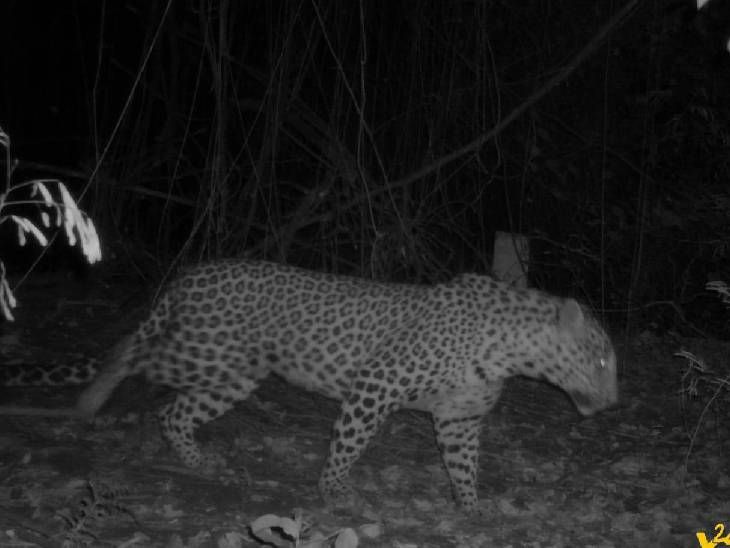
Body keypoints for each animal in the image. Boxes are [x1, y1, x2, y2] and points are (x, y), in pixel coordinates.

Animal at [7, 259, 618, 513]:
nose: (614, 400)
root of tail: (191, 271)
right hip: (199, 351)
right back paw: (93, 396)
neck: (513, 349)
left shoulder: (459, 418)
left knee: (174, 413)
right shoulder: (376, 384)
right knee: (131, 352)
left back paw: (200, 462)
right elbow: (349, 442)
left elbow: (462, 465)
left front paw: (472, 508)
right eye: (602, 358)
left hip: (233, 376)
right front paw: (334, 490)